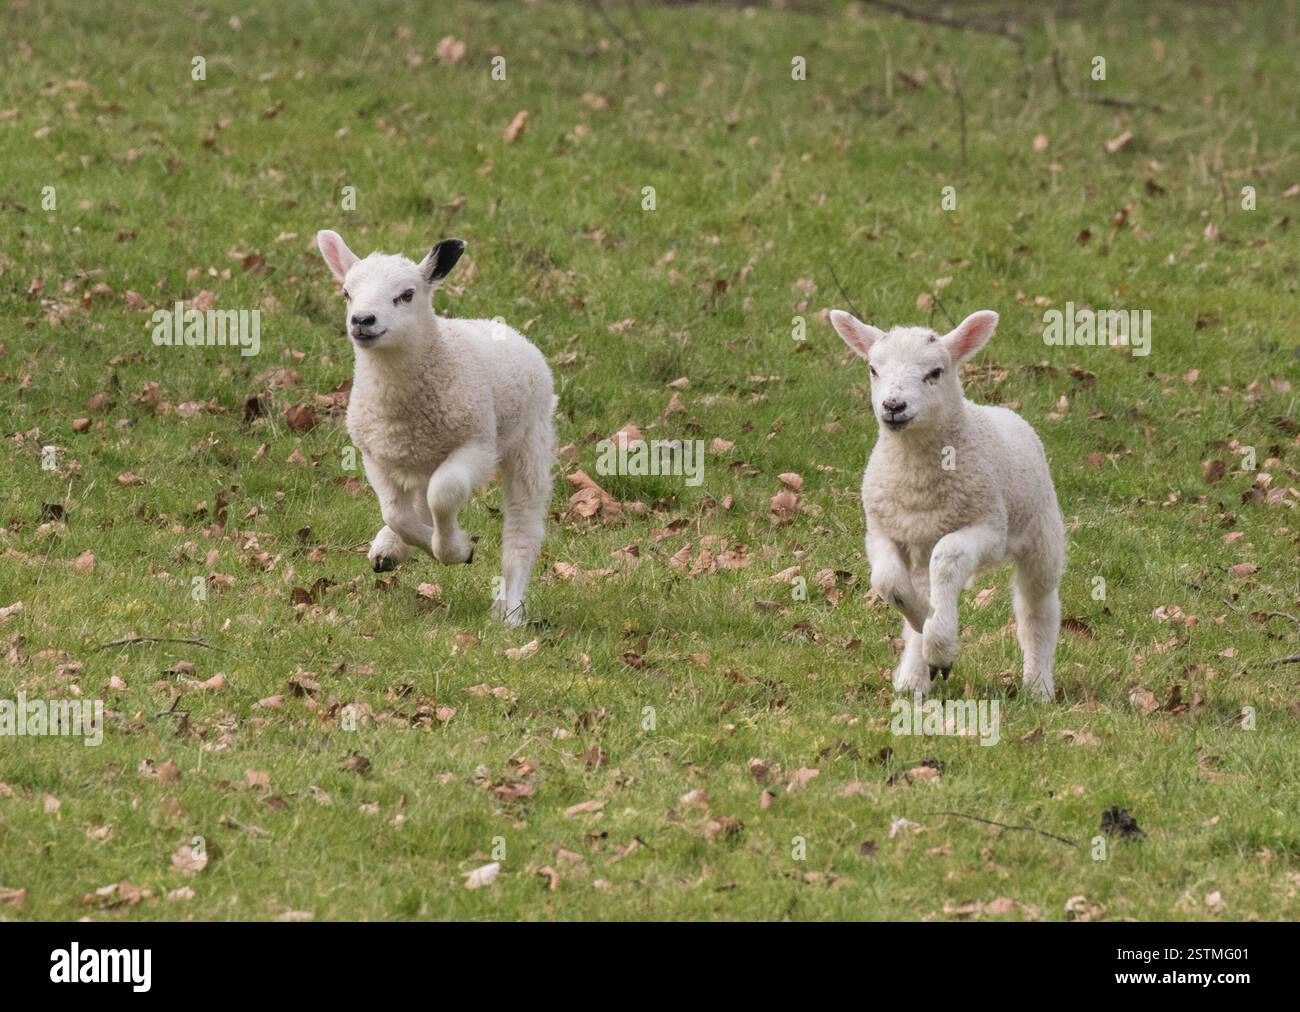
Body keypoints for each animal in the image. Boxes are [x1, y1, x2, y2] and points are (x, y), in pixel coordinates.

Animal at [316, 229, 555, 627]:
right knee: (417, 503)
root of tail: (506, 328)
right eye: (347, 293)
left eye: (407, 294)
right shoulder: (375, 455)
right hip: (420, 457)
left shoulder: (477, 444)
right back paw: (390, 548)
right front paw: (413, 542)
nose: (362, 320)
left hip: (530, 441)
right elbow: (396, 514)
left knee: (522, 526)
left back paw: (511, 611)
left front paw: (456, 550)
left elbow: (443, 494)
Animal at [828, 308, 1066, 701]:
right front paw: (927, 625)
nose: (893, 406)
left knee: (1037, 607)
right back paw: (914, 676)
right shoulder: (881, 529)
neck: (916, 482)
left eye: (935, 372)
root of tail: (1003, 410)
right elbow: (888, 581)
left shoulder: (988, 527)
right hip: (920, 546)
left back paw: (1038, 686)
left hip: (1041, 531)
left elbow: (948, 556)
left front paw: (941, 645)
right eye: (873, 369)